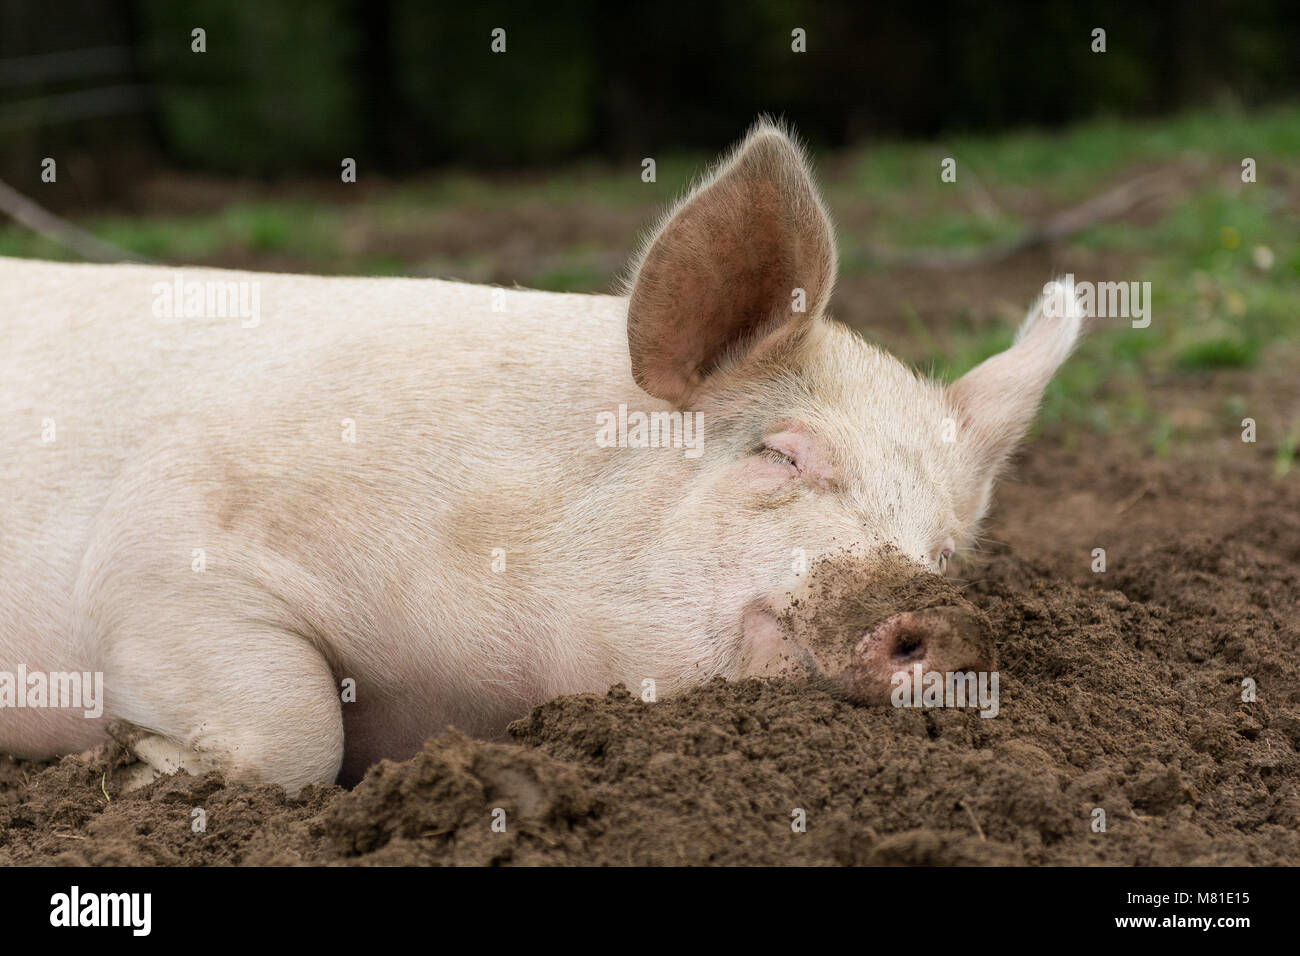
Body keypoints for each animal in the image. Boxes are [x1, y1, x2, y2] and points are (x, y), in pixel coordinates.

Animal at [0, 120, 1081, 793]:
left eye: (945, 547)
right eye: (782, 454)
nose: (949, 617)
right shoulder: (164, 551)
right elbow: (299, 730)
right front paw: (141, 762)